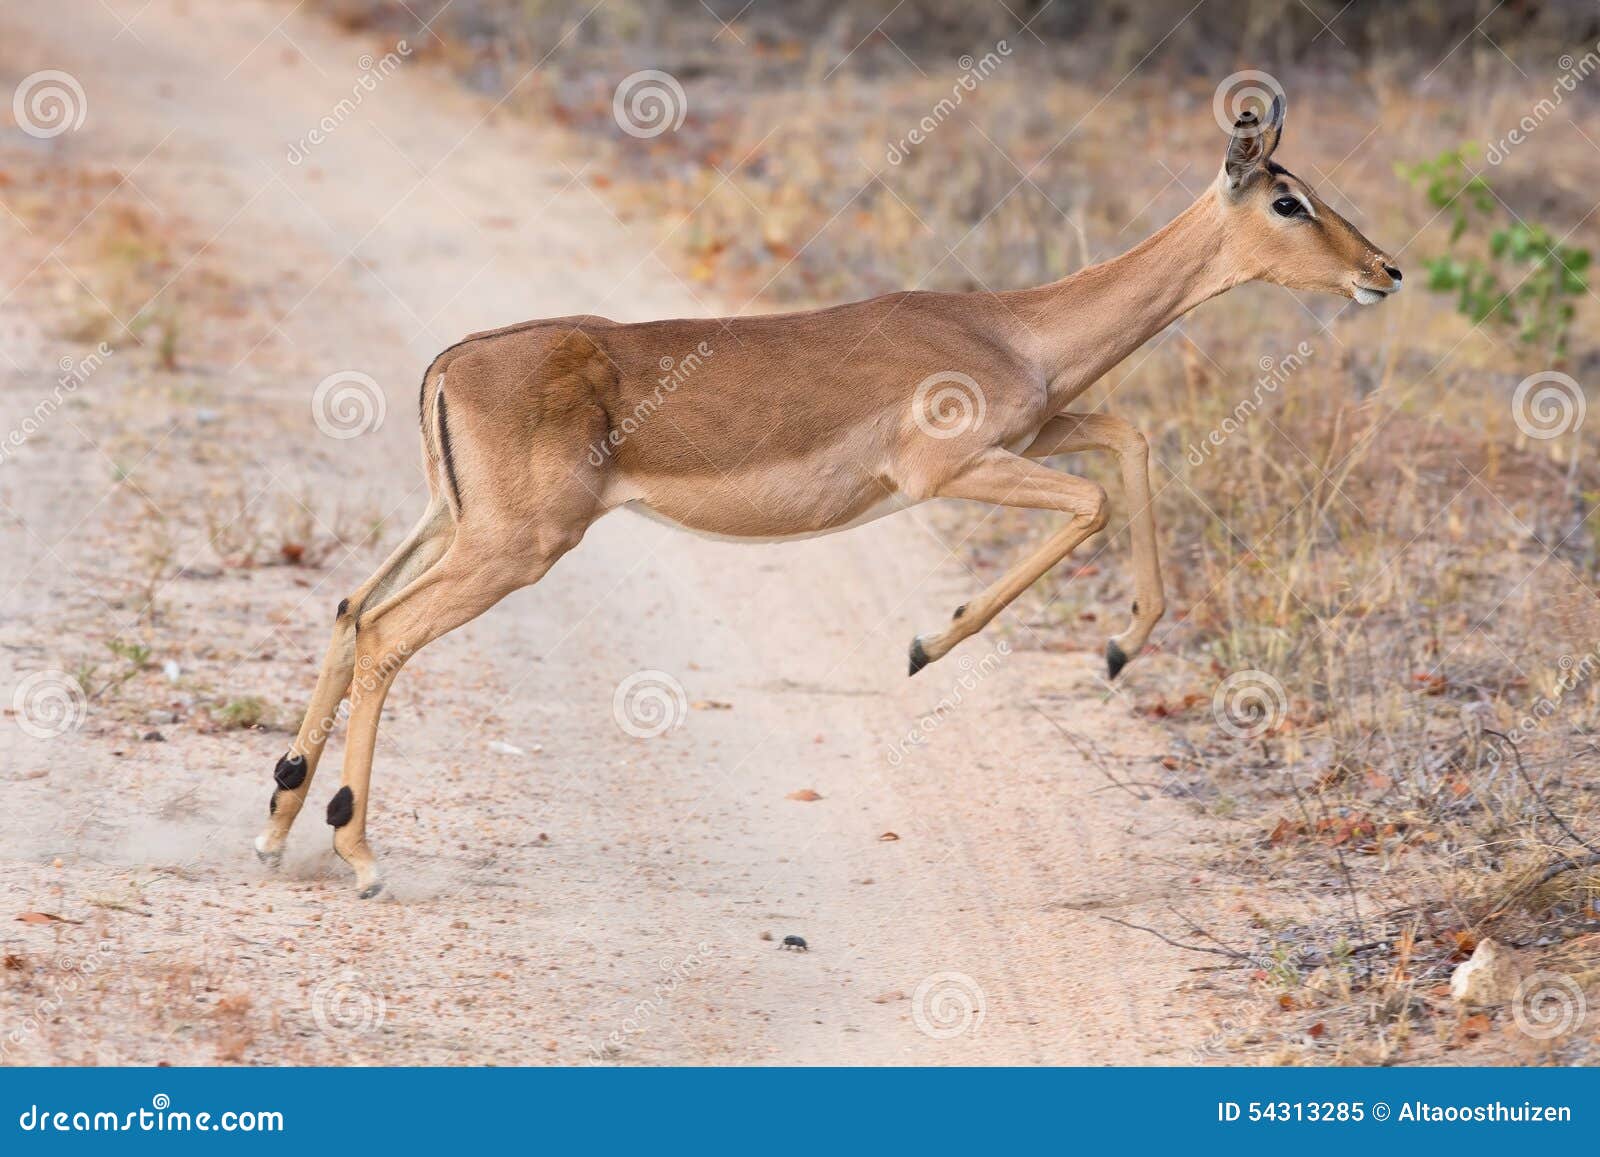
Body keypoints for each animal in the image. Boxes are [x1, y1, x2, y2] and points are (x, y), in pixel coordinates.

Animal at [255, 94, 1400, 897]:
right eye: (1288, 198)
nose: (1385, 269)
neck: (1013, 329)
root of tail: (452, 361)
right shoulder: (949, 469)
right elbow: (1093, 503)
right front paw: (928, 642)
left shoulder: (1039, 431)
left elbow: (1132, 440)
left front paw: (1118, 646)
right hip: (516, 544)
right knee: (386, 632)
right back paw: (359, 855)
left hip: (451, 522)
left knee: (350, 606)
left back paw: (277, 828)